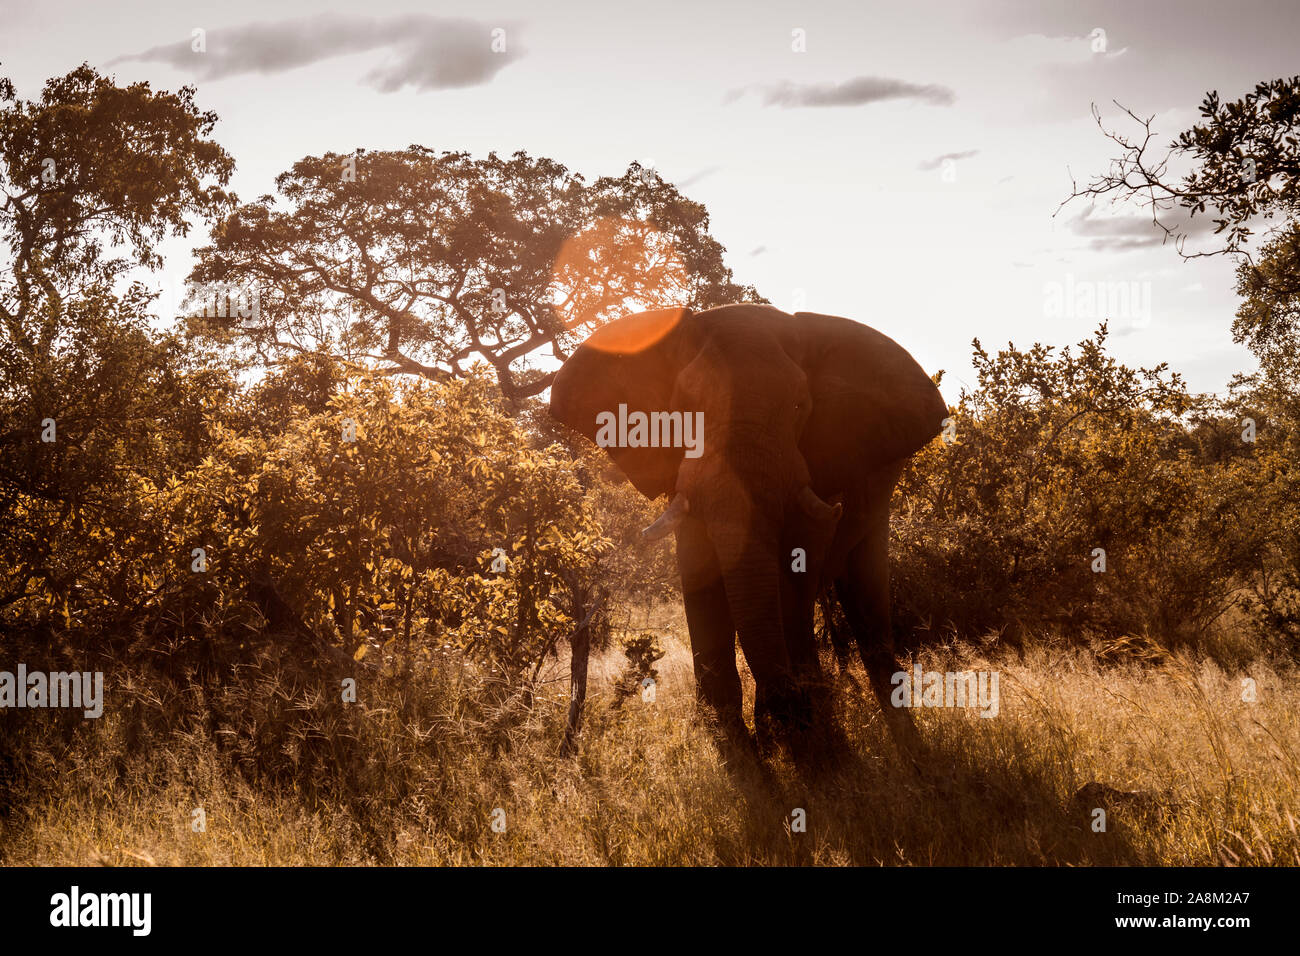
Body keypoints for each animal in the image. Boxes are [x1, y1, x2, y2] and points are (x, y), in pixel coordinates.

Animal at [548, 303, 946, 759]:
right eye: (685, 406)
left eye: (799, 406)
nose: (782, 712)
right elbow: (699, 570)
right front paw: (739, 750)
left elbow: (795, 570)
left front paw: (810, 744)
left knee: (867, 599)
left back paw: (909, 753)